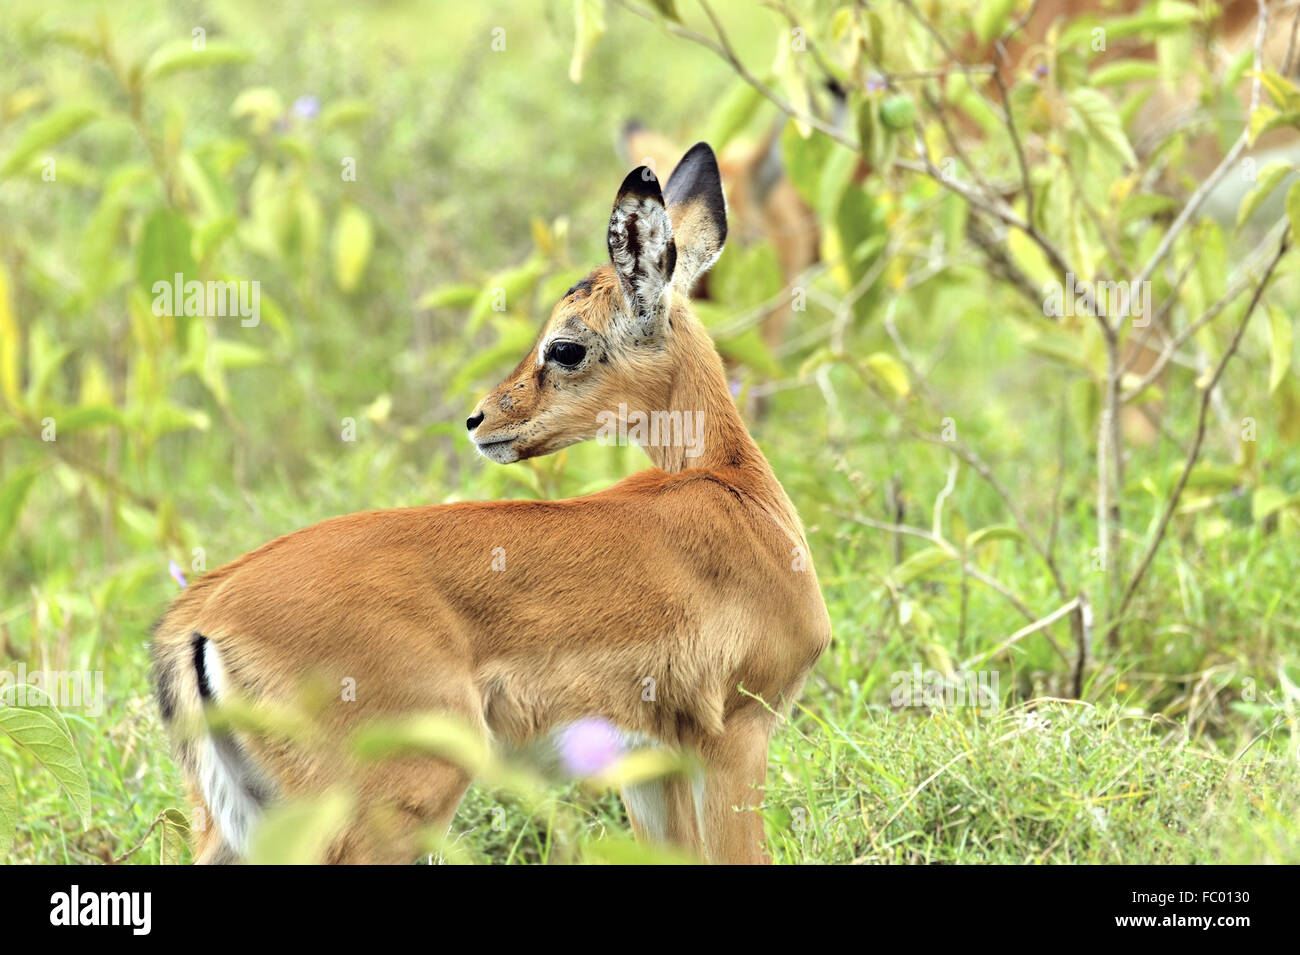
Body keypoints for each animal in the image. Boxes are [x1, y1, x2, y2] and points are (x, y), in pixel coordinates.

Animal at [150, 142, 832, 865]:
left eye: (565, 345)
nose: (480, 420)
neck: (737, 494)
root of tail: (202, 614)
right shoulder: (735, 735)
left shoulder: (654, 765)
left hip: (239, 822)